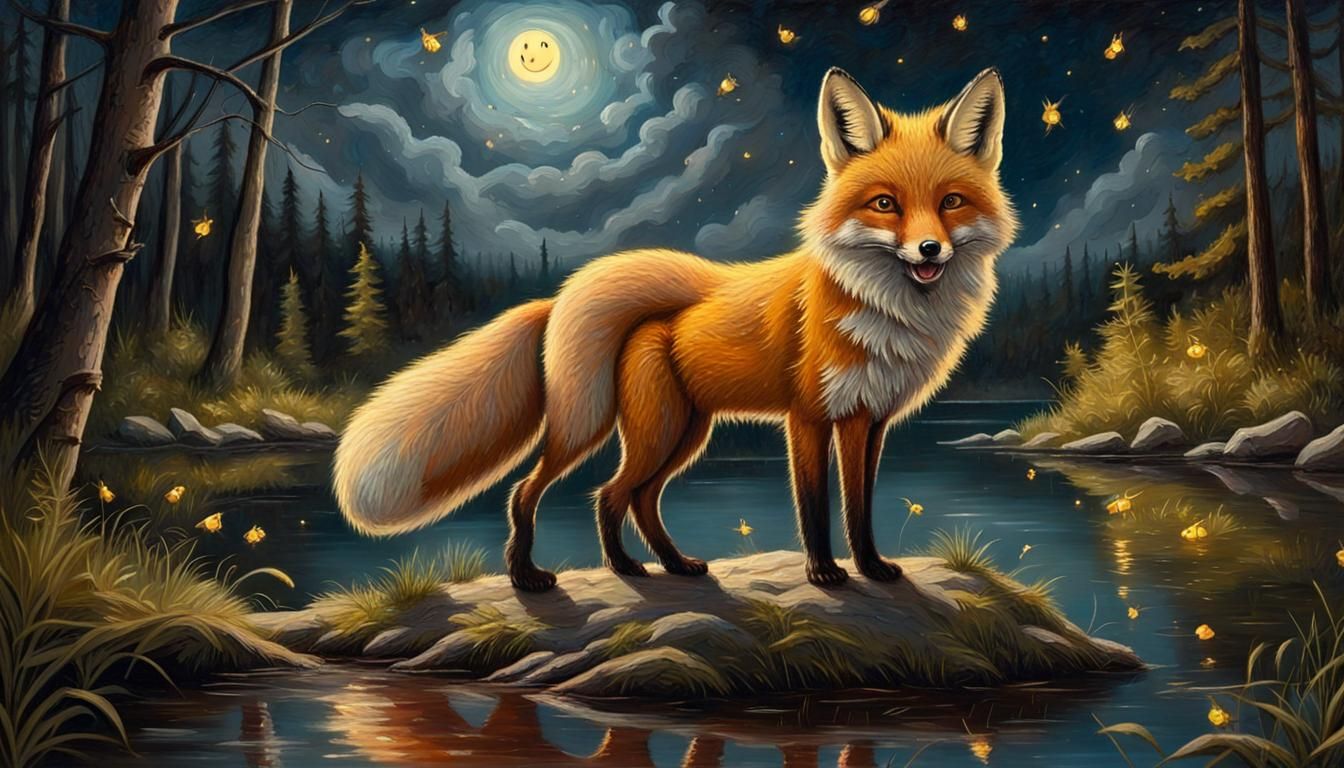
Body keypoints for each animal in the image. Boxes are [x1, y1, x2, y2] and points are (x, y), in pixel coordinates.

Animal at [333, 67, 1019, 592]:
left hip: (685, 434)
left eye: (951, 202)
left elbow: (860, 509)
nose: (929, 250)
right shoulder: (809, 416)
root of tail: (558, 302)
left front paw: (872, 568)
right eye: (885, 204)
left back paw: (652, 566)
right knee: (543, 491)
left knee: (626, 498)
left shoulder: (869, 422)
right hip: (610, 428)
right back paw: (535, 576)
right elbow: (817, 508)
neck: (885, 315)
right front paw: (825, 573)